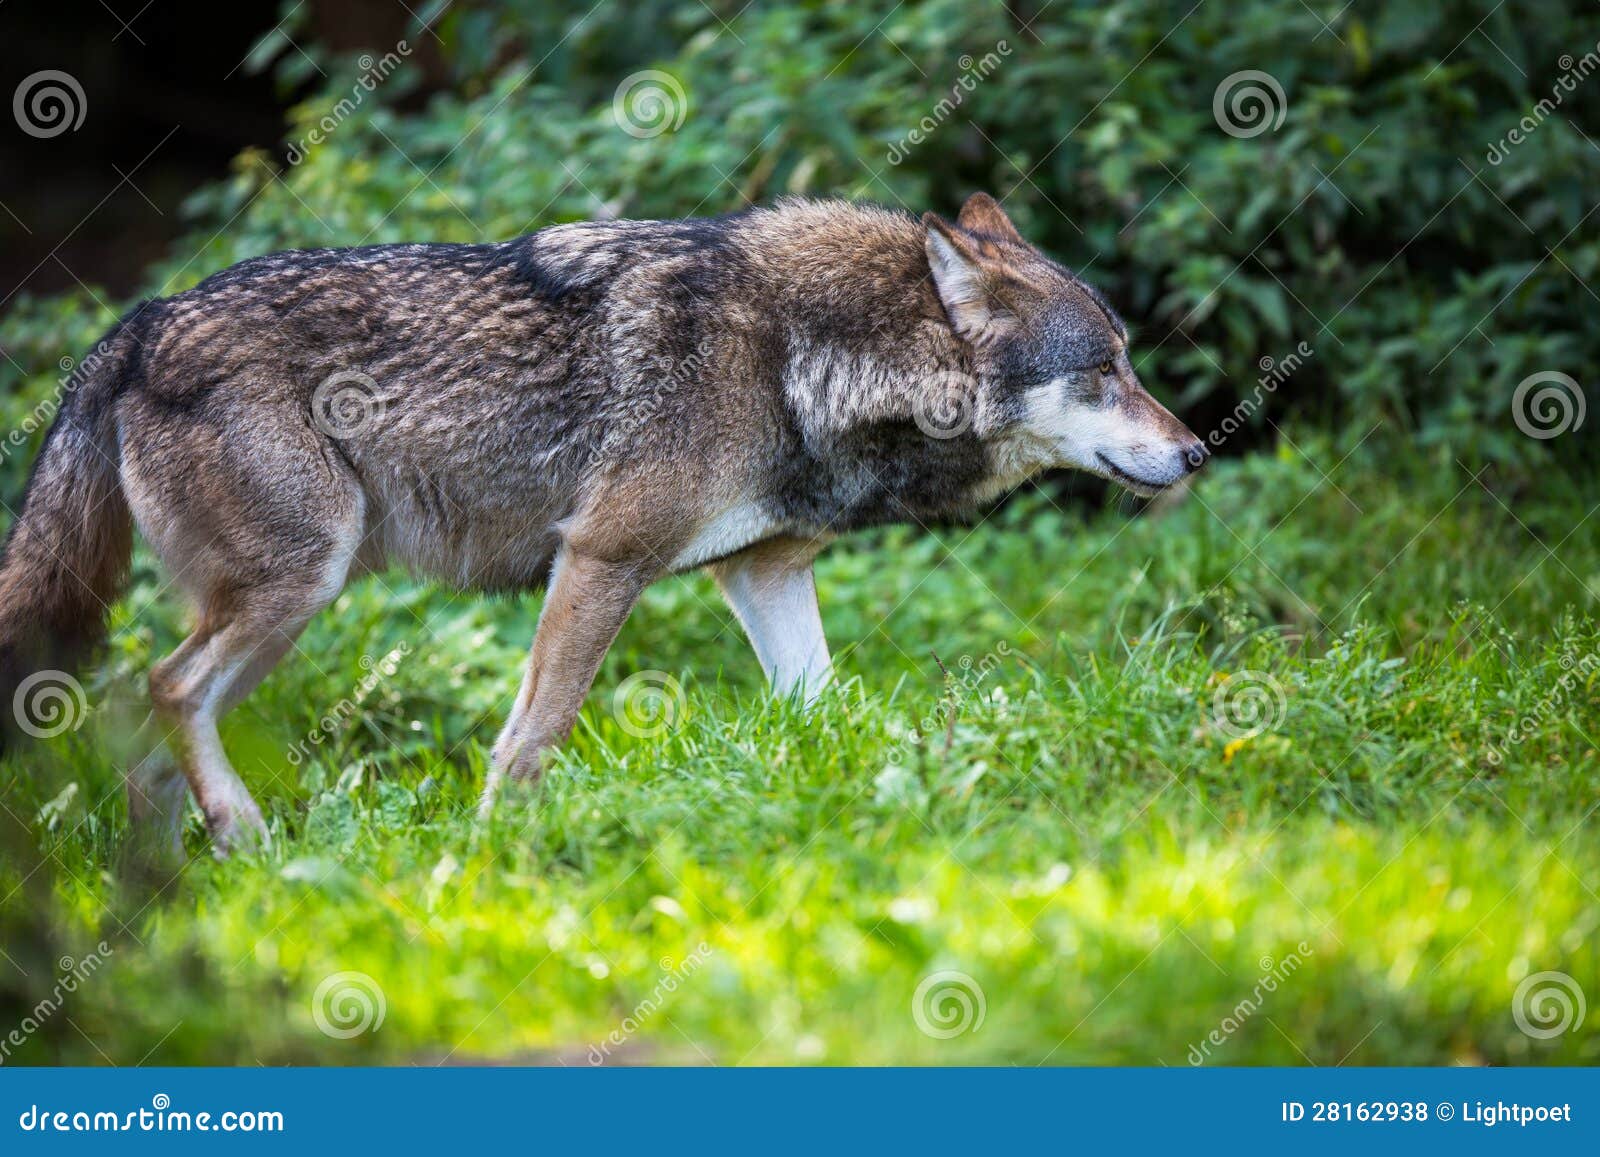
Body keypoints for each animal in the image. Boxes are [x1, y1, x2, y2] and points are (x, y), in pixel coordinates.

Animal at [0, 193, 1204, 853]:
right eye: (1104, 370)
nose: (1197, 451)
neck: (803, 353)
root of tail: (137, 322)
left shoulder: (762, 573)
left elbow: (826, 708)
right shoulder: (601, 557)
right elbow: (532, 736)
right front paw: (494, 861)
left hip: (283, 608)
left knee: (147, 716)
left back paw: (184, 887)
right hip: (298, 587)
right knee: (161, 690)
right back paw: (235, 844)